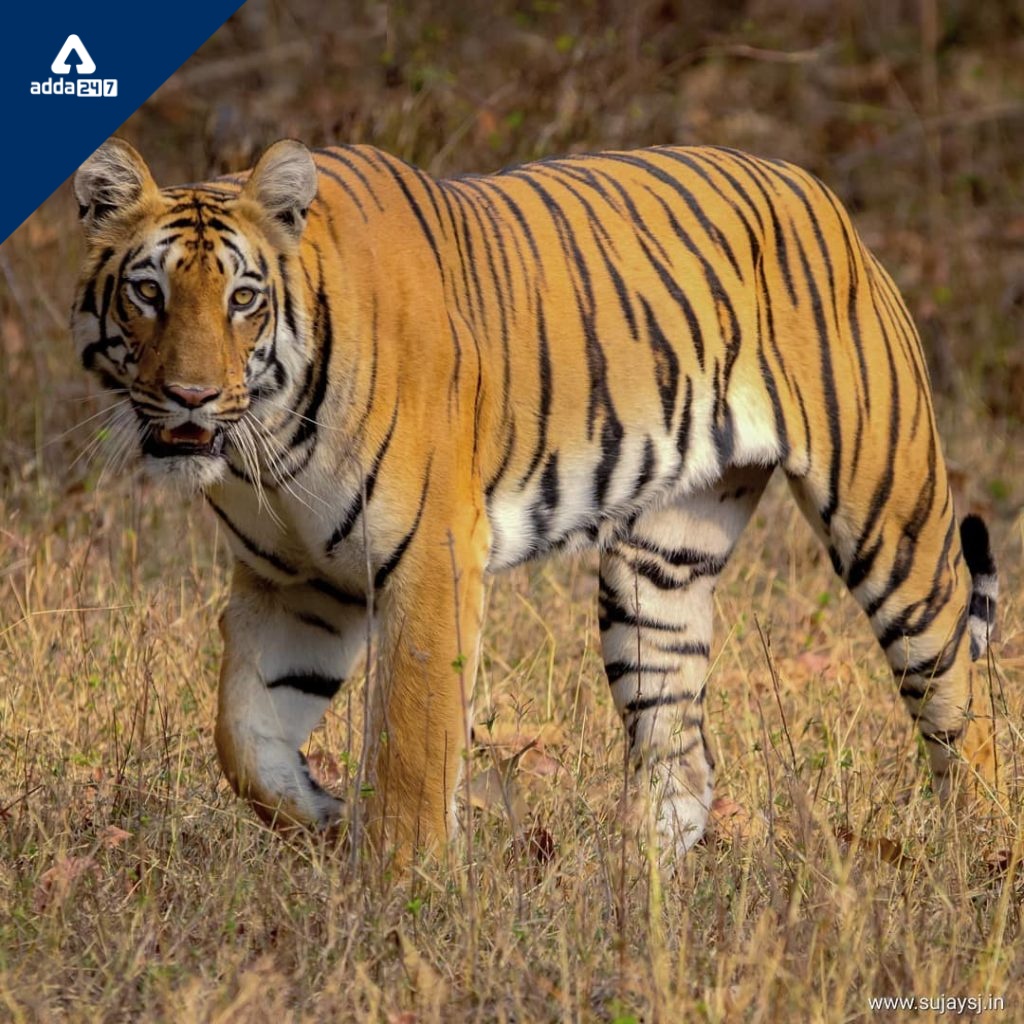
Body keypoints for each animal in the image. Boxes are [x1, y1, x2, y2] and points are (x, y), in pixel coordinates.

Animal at [71, 136, 1001, 860]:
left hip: (894, 526)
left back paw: (982, 860)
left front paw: (398, 892)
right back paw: (631, 894)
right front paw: (327, 819)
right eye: (149, 291)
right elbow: (244, 737)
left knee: (962, 706)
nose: (190, 398)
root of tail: (816, 191)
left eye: (243, 299)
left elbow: (410, 746)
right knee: (681, 753)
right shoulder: (294, 583)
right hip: (659, 570)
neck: (267, 442)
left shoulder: (430, 559)